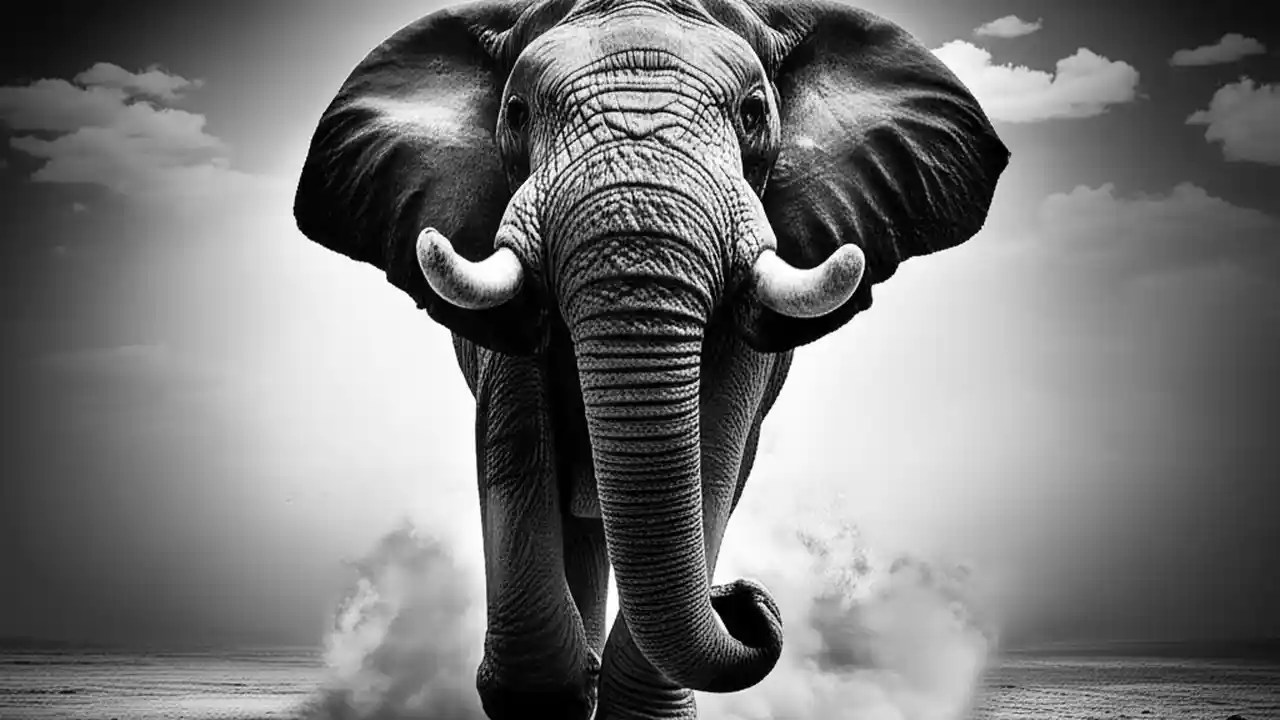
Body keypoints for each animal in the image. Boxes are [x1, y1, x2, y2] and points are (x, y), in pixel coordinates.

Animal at [293, 1, 1007, 718]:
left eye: (754, 113)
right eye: (516, 113)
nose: (743, 599)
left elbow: (715, 449)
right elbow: (516, 432)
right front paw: (555, 687)